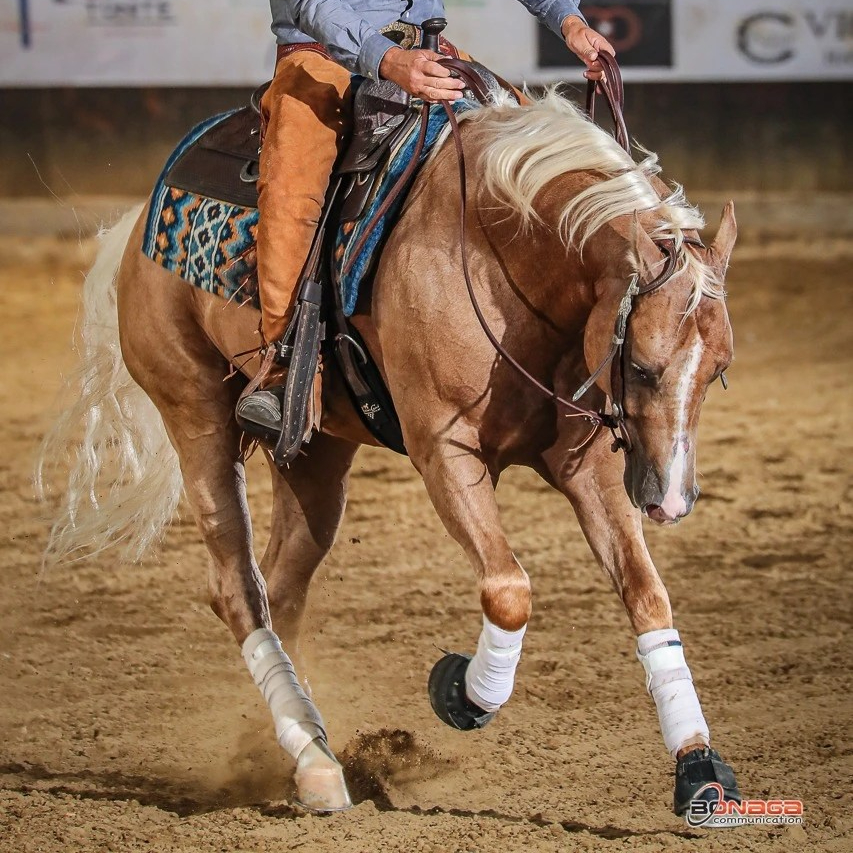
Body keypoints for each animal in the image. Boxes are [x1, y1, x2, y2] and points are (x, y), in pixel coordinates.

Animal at [38, 88, 740, 817]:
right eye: (643, 367)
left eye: (718, 369)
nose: (669, 500)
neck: (500, 258)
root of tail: (135, 226)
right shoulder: (446, 454)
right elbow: (509, 590)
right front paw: (462, 693)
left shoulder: (590, 467)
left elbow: (646, 595)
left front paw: (698, 767)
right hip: (195, 417)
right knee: (238, 588)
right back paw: (317, 763)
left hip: (314, 457)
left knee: (280, 590)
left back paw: (298, 745)